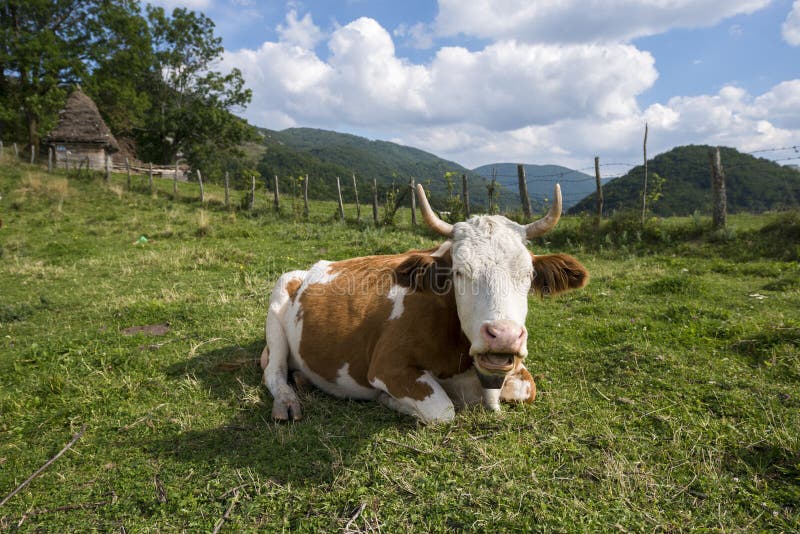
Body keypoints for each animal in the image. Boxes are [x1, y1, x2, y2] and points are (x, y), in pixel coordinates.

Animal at [261, 184, 588, 423]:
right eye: (459, 271)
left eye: (528, 274)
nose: (504, 336)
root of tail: (317, 265)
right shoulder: (388, 365)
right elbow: (443, 410)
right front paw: (388, 400)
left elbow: (527, 388)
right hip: (277, 303)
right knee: (273, 371)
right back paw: (287, 401)